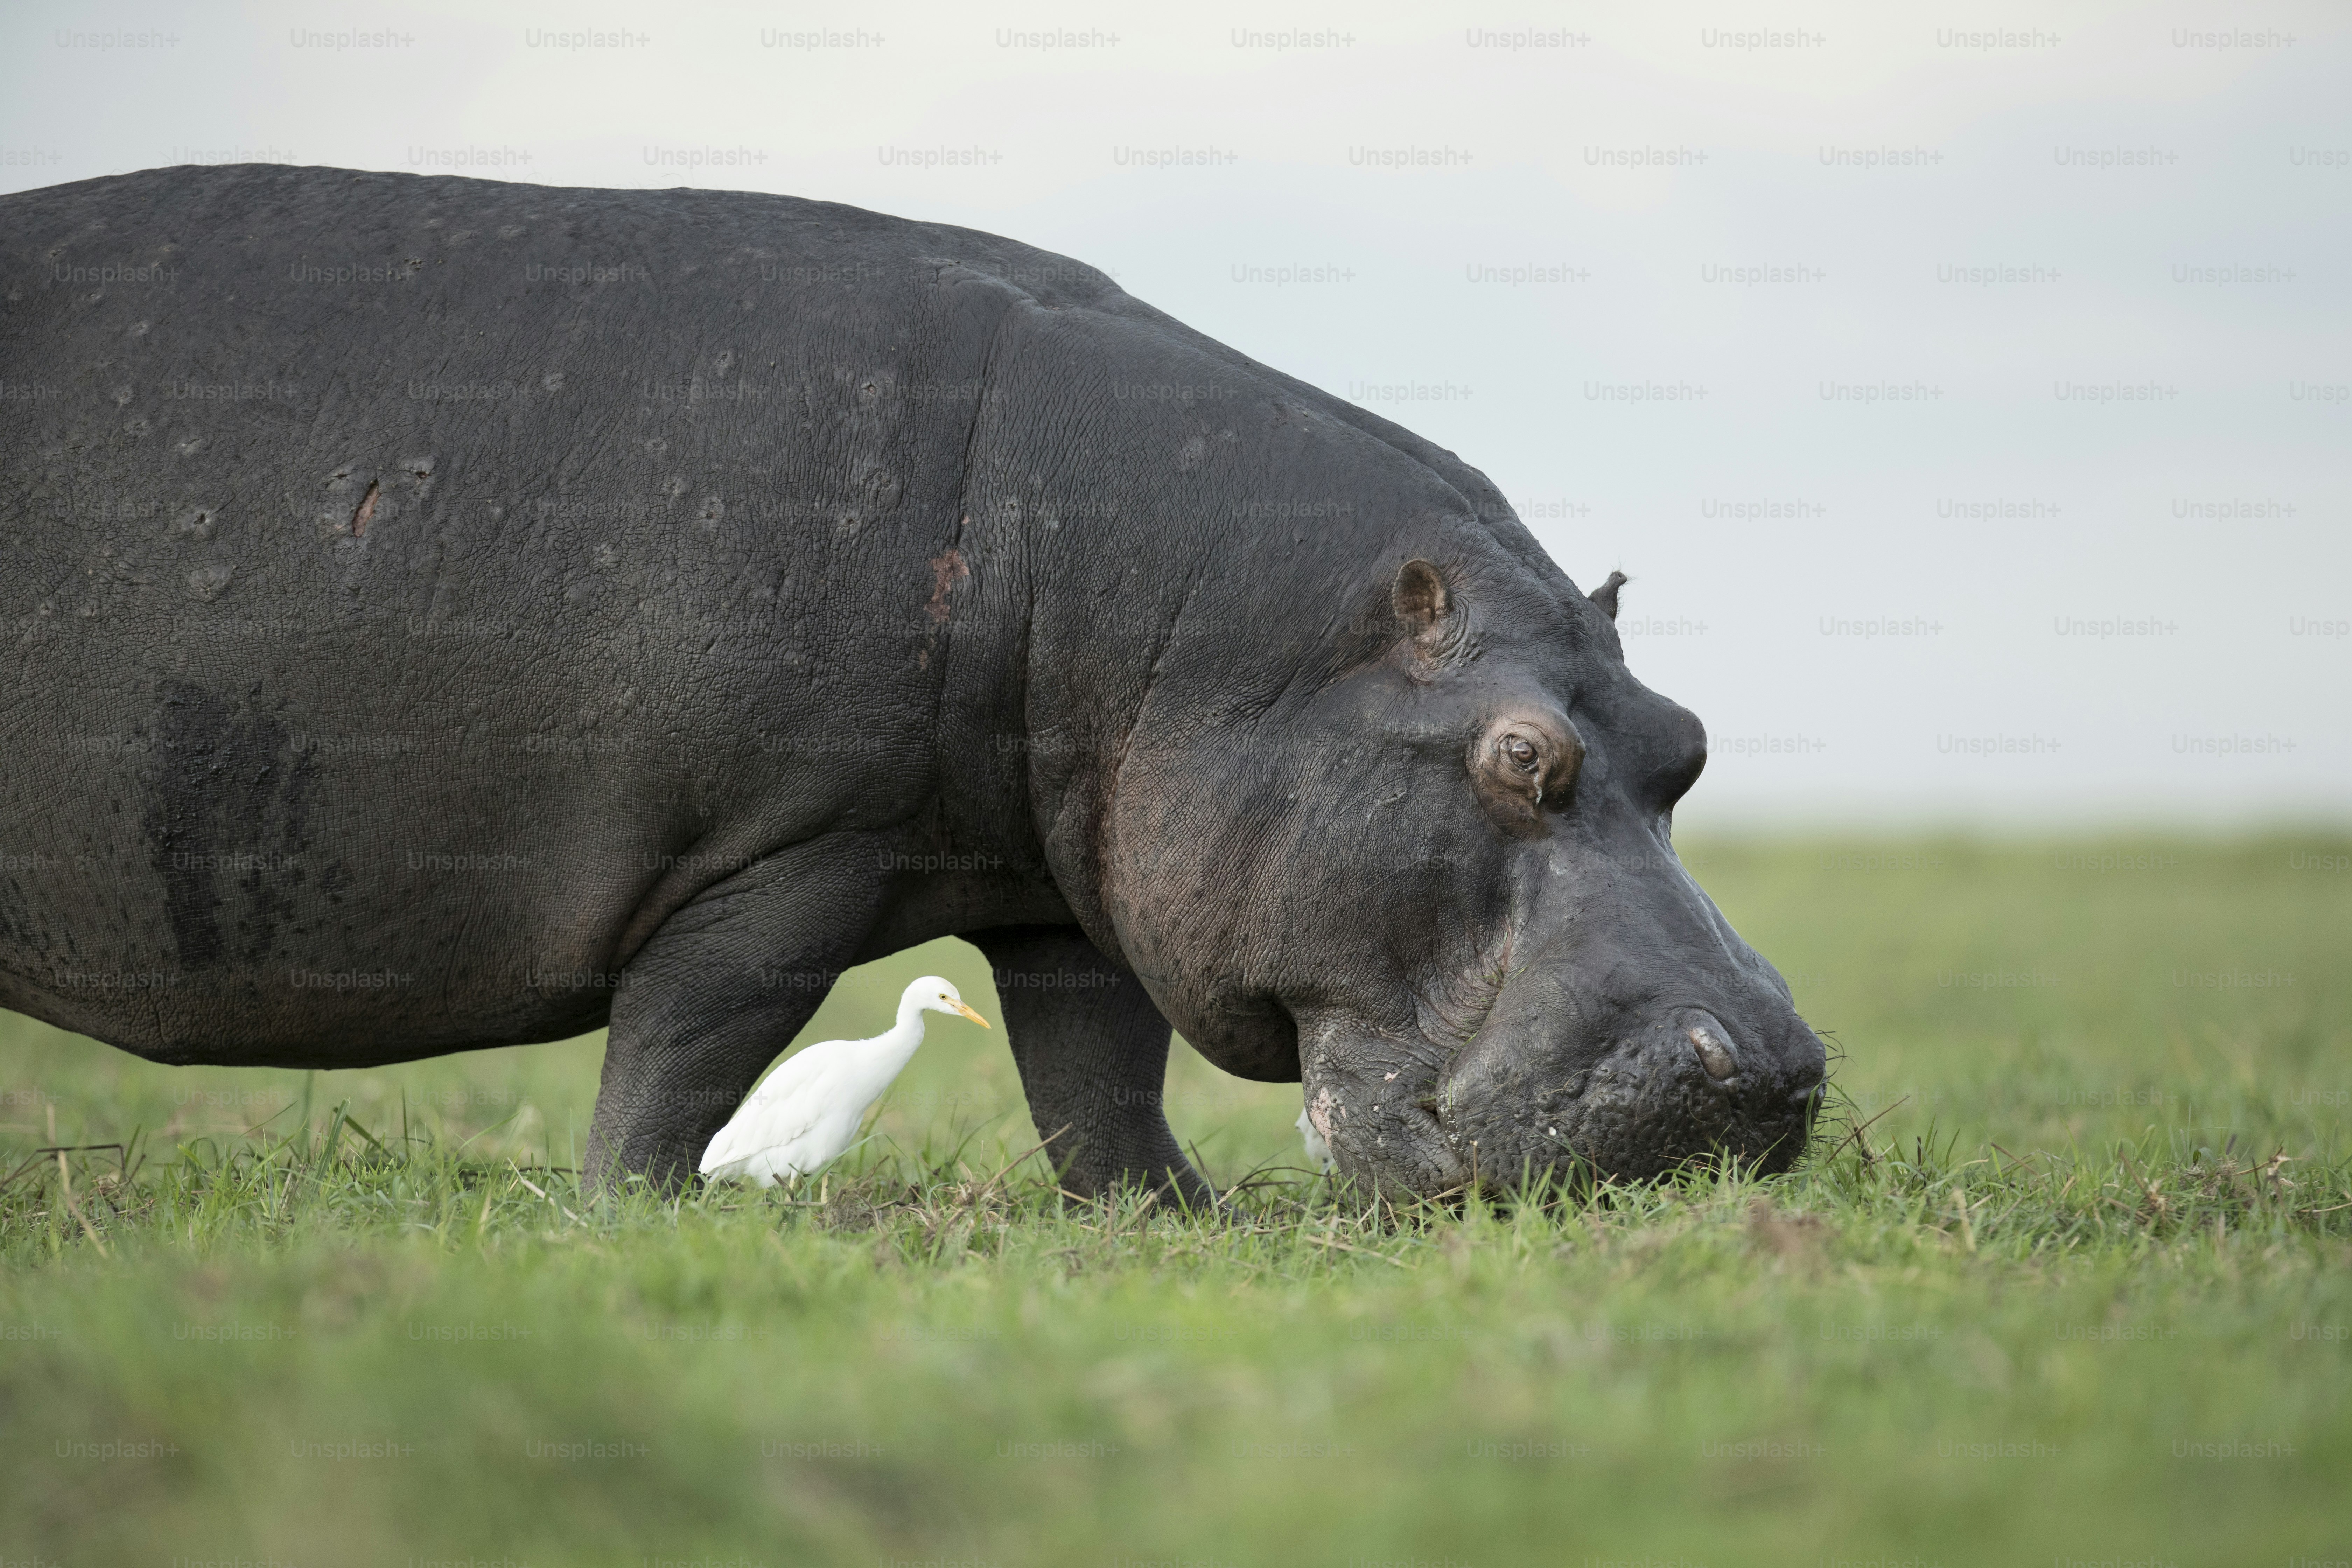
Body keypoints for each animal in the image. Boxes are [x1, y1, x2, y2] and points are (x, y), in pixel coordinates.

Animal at [0, 164, 1826, 1201]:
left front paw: (1173, 1217)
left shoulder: (1064, 878)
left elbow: (1097, 1072)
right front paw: (635, 1212)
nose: (1771, 1075)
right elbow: (696, 1040)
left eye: (1687, 744)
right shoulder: (784, 847)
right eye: (1521, 759)